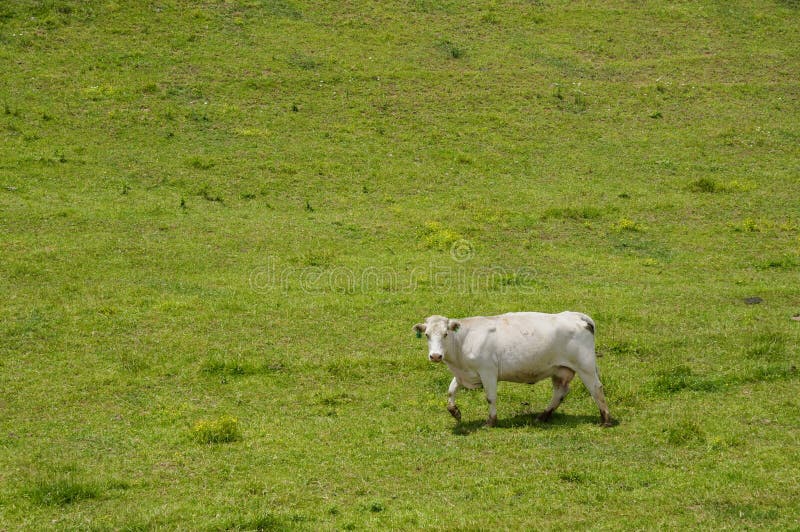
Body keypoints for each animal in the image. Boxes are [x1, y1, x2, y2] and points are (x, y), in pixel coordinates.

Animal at [413, 312, 612, 427]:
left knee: (596, 389)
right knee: (560, 392)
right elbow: (450, 391)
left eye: (445, 334)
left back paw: (606, 420)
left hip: (585, 366)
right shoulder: (464, 374)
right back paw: (543, 416)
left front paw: (490, 422)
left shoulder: (488, 371)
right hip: (559, 369)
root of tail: (576, 315)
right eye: (427, 335)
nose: (436, 356)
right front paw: (455, 412)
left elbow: (490, 397)